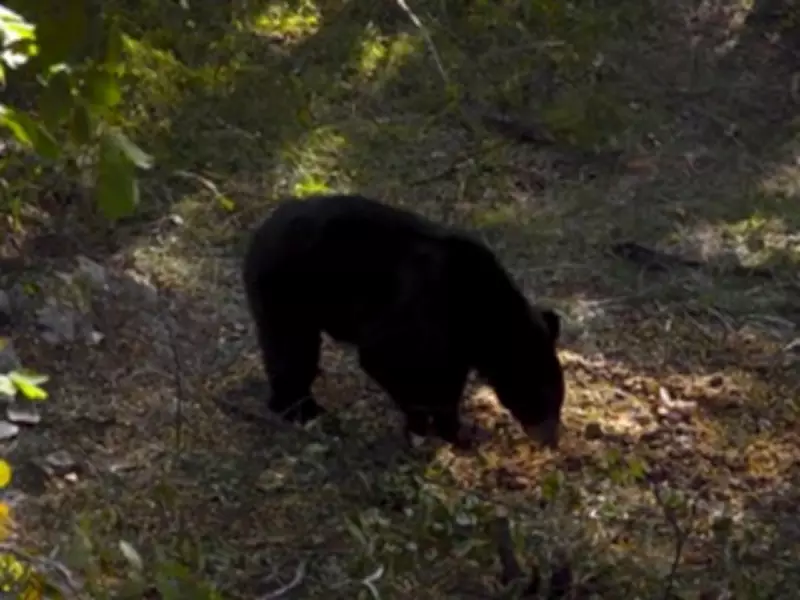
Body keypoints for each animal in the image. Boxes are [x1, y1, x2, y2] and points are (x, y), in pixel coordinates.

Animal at [241, 193, 565, 449]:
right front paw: (426, 425)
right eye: (544, 397)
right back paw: (301, 410)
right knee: (293, 349)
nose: (551, 440)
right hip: (288, 289)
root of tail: (260, 230)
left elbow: (449, 377)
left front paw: (453, 428)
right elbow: (385, 357)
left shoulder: (456, 341)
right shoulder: (422, 307)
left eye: (557, 398)